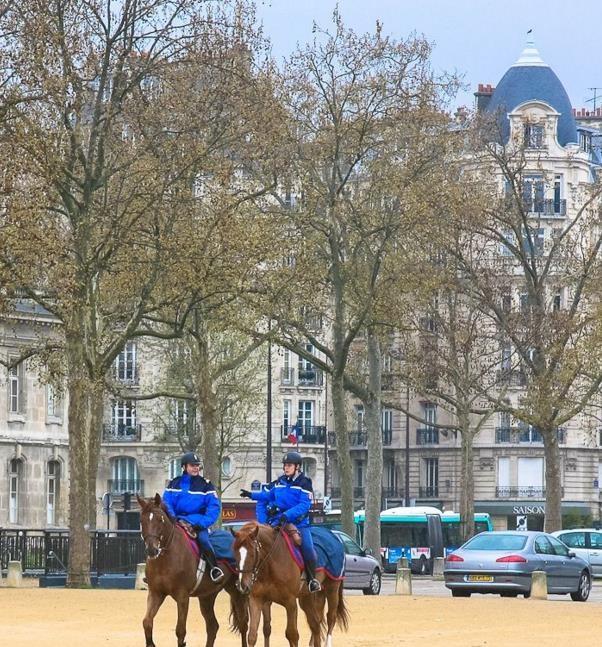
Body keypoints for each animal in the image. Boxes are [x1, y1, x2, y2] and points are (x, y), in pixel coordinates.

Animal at [137, 496, 247, 647]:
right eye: (142, 521)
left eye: (160, 519)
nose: (152, 550)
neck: (165, 559)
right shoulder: (156, 593)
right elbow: (147, 622)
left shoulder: (182, 596)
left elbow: (180, 631)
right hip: (207, 596)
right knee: (213, 626)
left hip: (236, 591)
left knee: (243, 624)